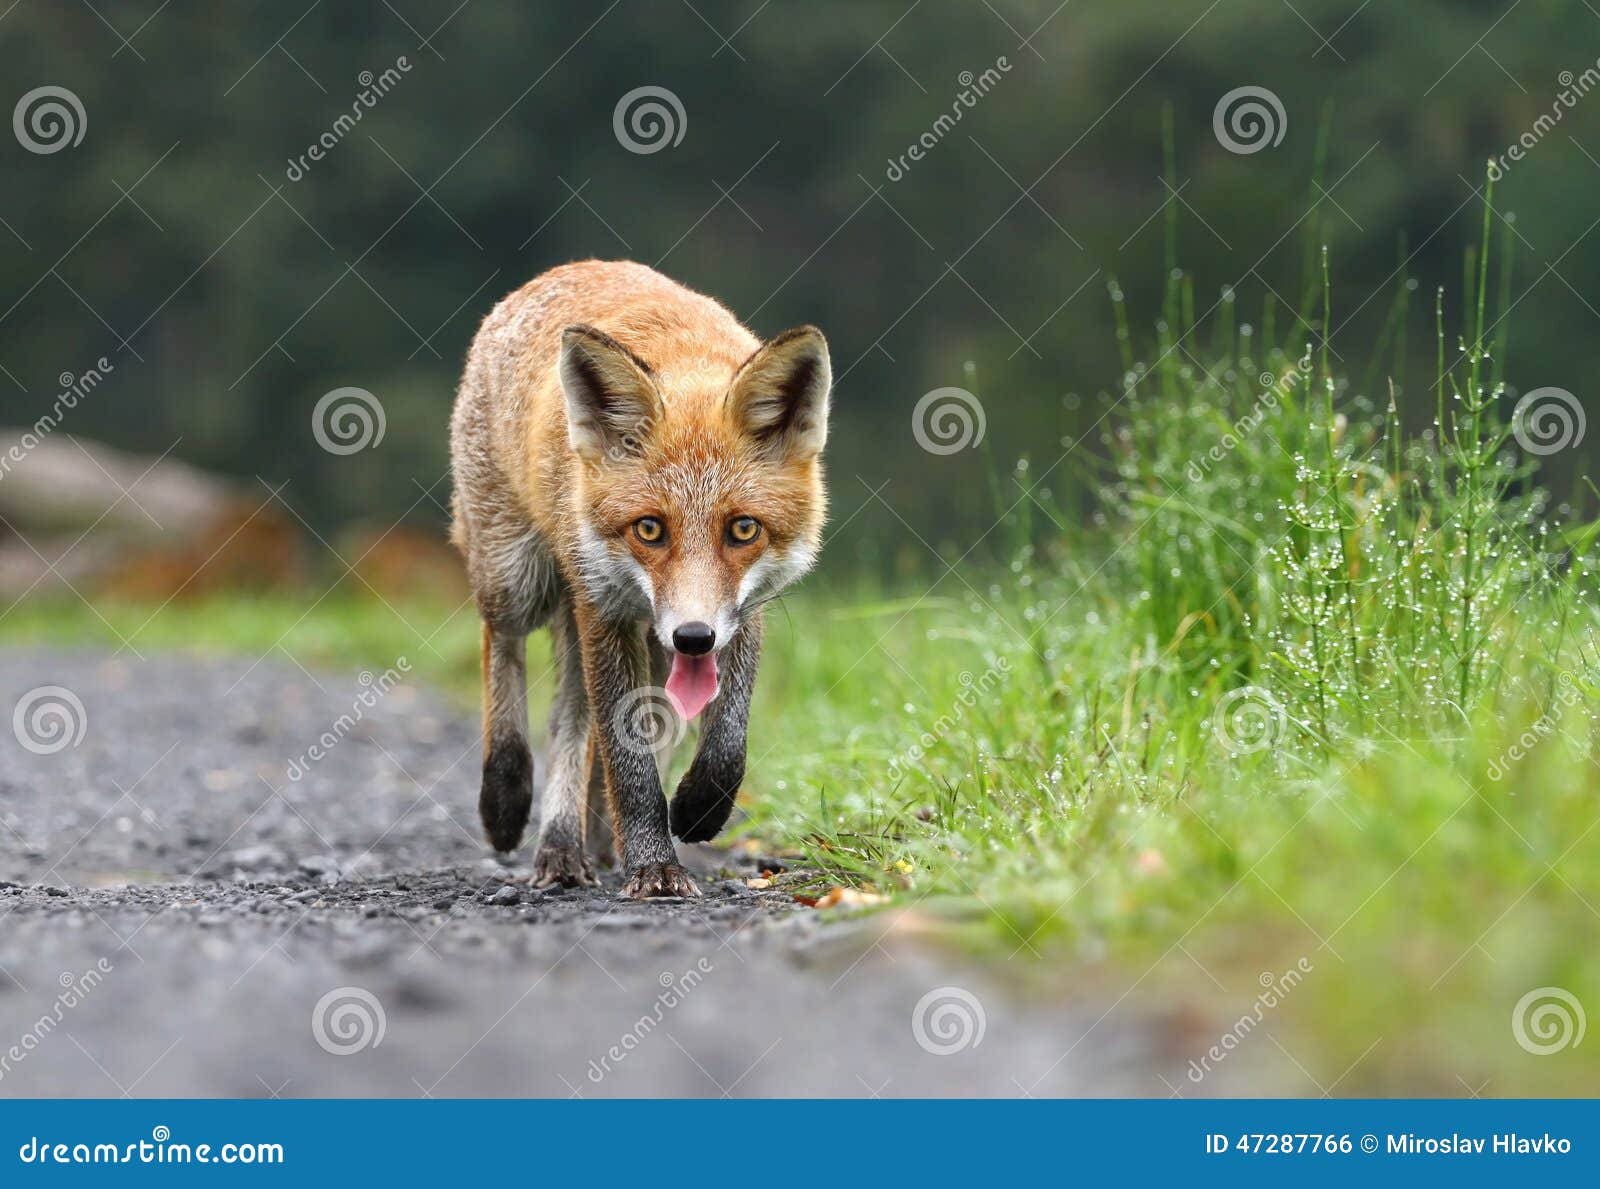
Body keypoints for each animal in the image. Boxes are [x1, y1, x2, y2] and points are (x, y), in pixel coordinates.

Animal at [448, 260, 830, 898]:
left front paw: (698, 810)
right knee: (502, 647)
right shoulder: (602, 609)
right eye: (649, 529)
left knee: (574, 720)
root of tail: (569, 267)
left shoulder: (744, 612)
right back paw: (508, 798)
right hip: (519, 580)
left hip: (631, 635)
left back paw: (571, 845)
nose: (694, 637)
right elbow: (629, 764)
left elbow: (726, 739)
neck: (685, 359)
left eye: (743, 529)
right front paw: (654, 866)